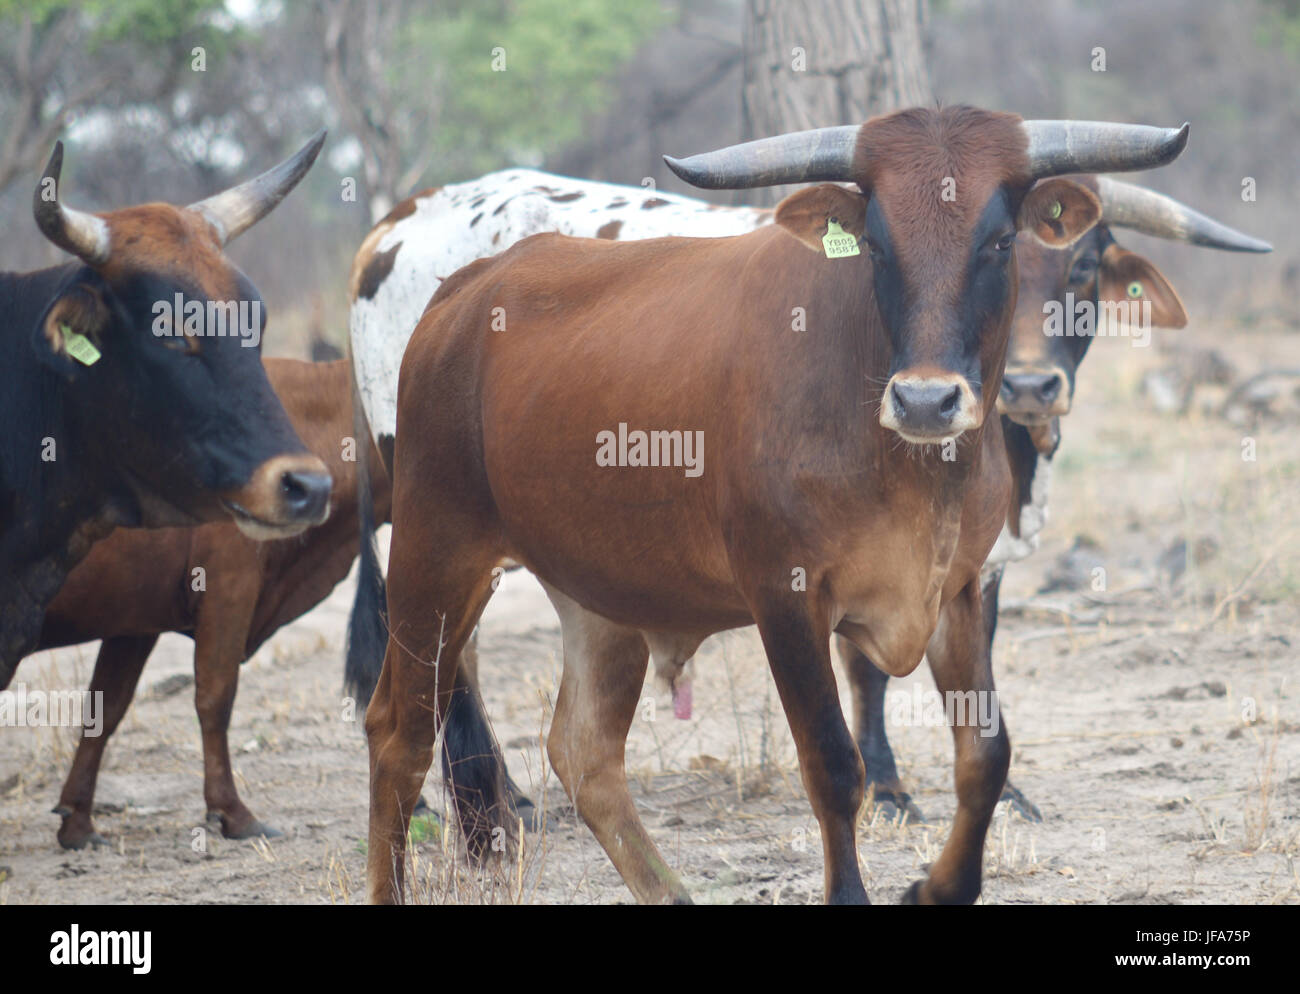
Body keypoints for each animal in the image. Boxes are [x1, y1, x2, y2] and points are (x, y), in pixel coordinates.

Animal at [17, 358, 389, 850]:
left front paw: (77, 820)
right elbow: (215, 699)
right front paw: (233, 812)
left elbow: (106, 708)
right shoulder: (229, 589)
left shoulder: (137, 620)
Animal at [356, 106, 1193, 905]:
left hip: (596, 591)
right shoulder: (786, 599)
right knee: (400, 730)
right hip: (436, 553)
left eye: (999, 241)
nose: (928, 401)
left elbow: (984, 755)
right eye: (877, 243)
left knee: (584, 751)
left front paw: (941, 884)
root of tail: (464, 287)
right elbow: (834, 765)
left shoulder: (957, 589)